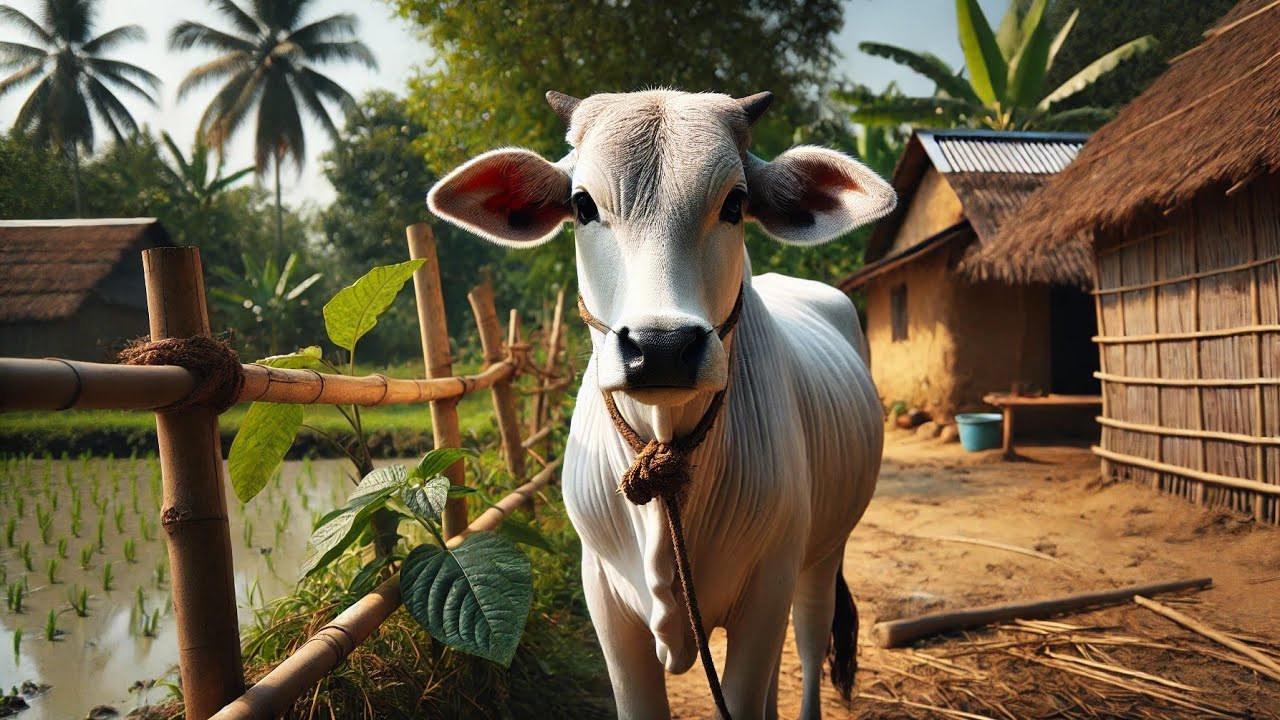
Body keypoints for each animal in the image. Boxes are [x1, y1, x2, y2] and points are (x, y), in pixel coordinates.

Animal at [428, 89, 894, 720]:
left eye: (735, 202)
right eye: (581, 205)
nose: (662, 348)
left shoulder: (768, 586)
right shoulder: (604, 597)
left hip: (823, 556)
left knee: (809, 638)